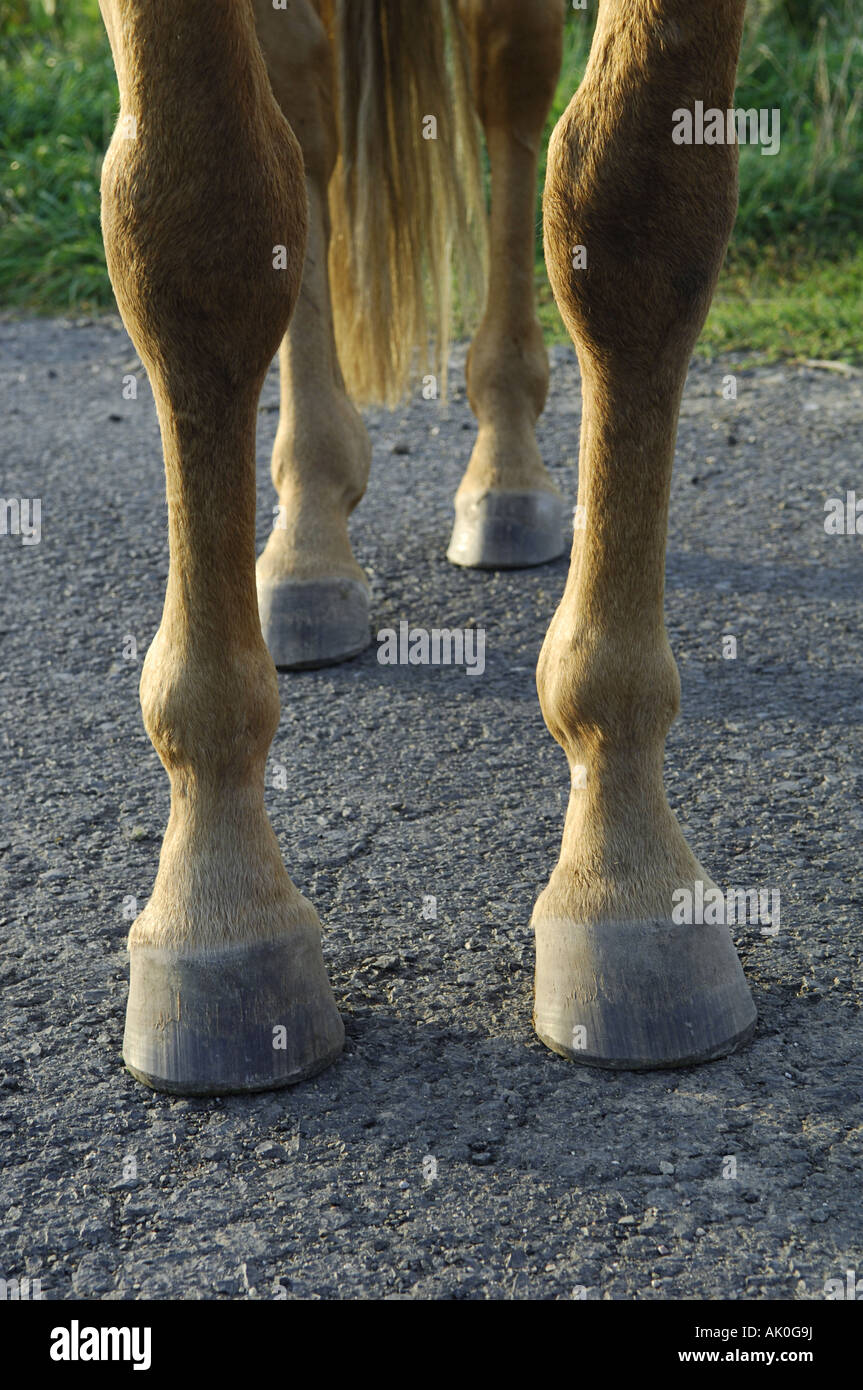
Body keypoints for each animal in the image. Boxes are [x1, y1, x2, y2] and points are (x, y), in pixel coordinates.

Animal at [97, 0, 756, 1094]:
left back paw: (506, 474)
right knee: (306, 125)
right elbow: (200, 218)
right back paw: (308, 527)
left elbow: (629, 203)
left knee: (508, 83)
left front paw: (625, 871)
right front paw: (216, 904)